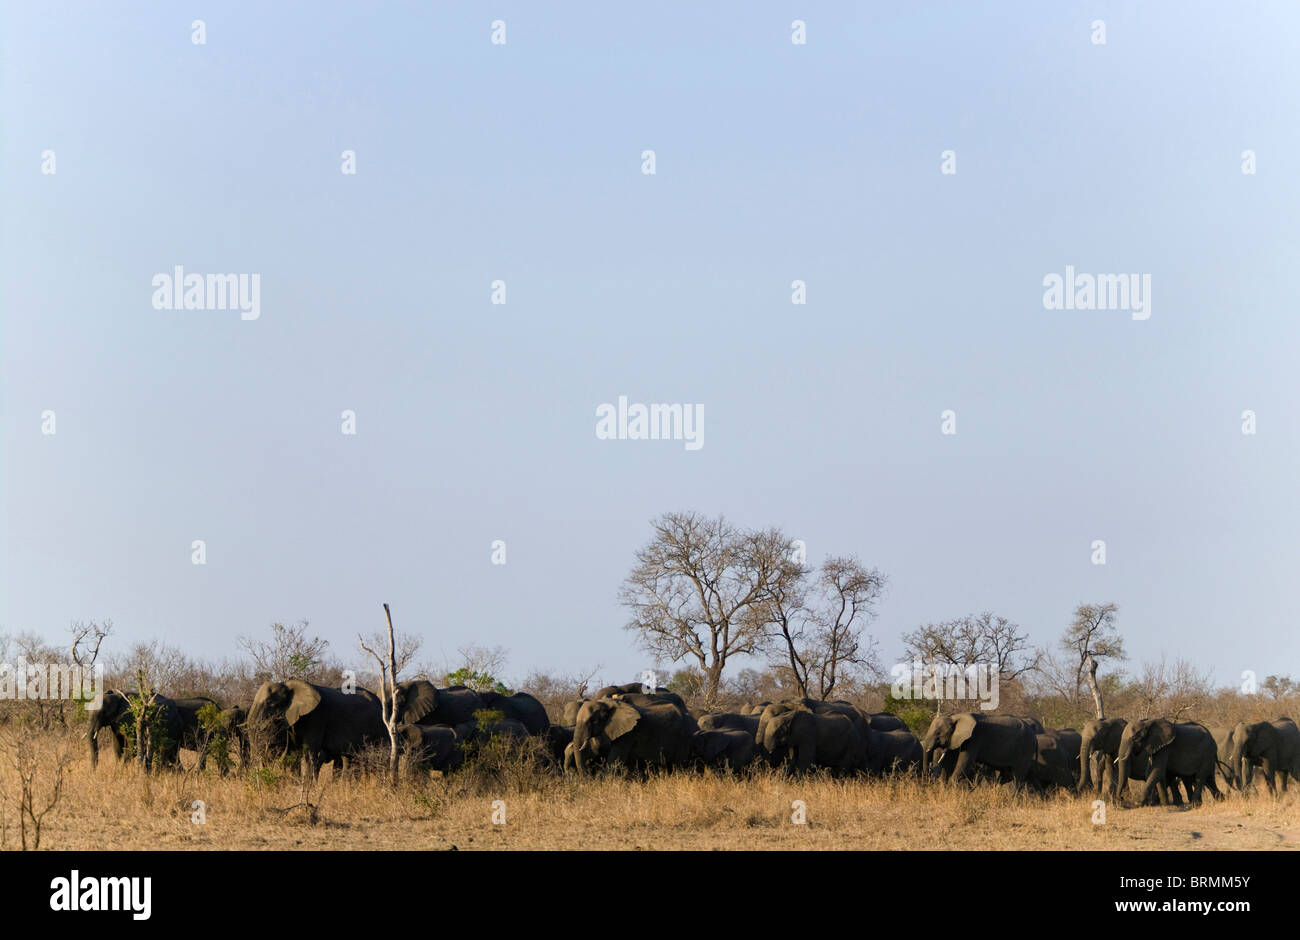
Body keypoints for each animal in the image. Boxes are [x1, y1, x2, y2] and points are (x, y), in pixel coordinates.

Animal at [246, 680, 387, 775]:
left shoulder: (316, 718)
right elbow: (293, 754)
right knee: (349, 759)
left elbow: (310, 754)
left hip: (379, 728)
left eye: (270, 703)